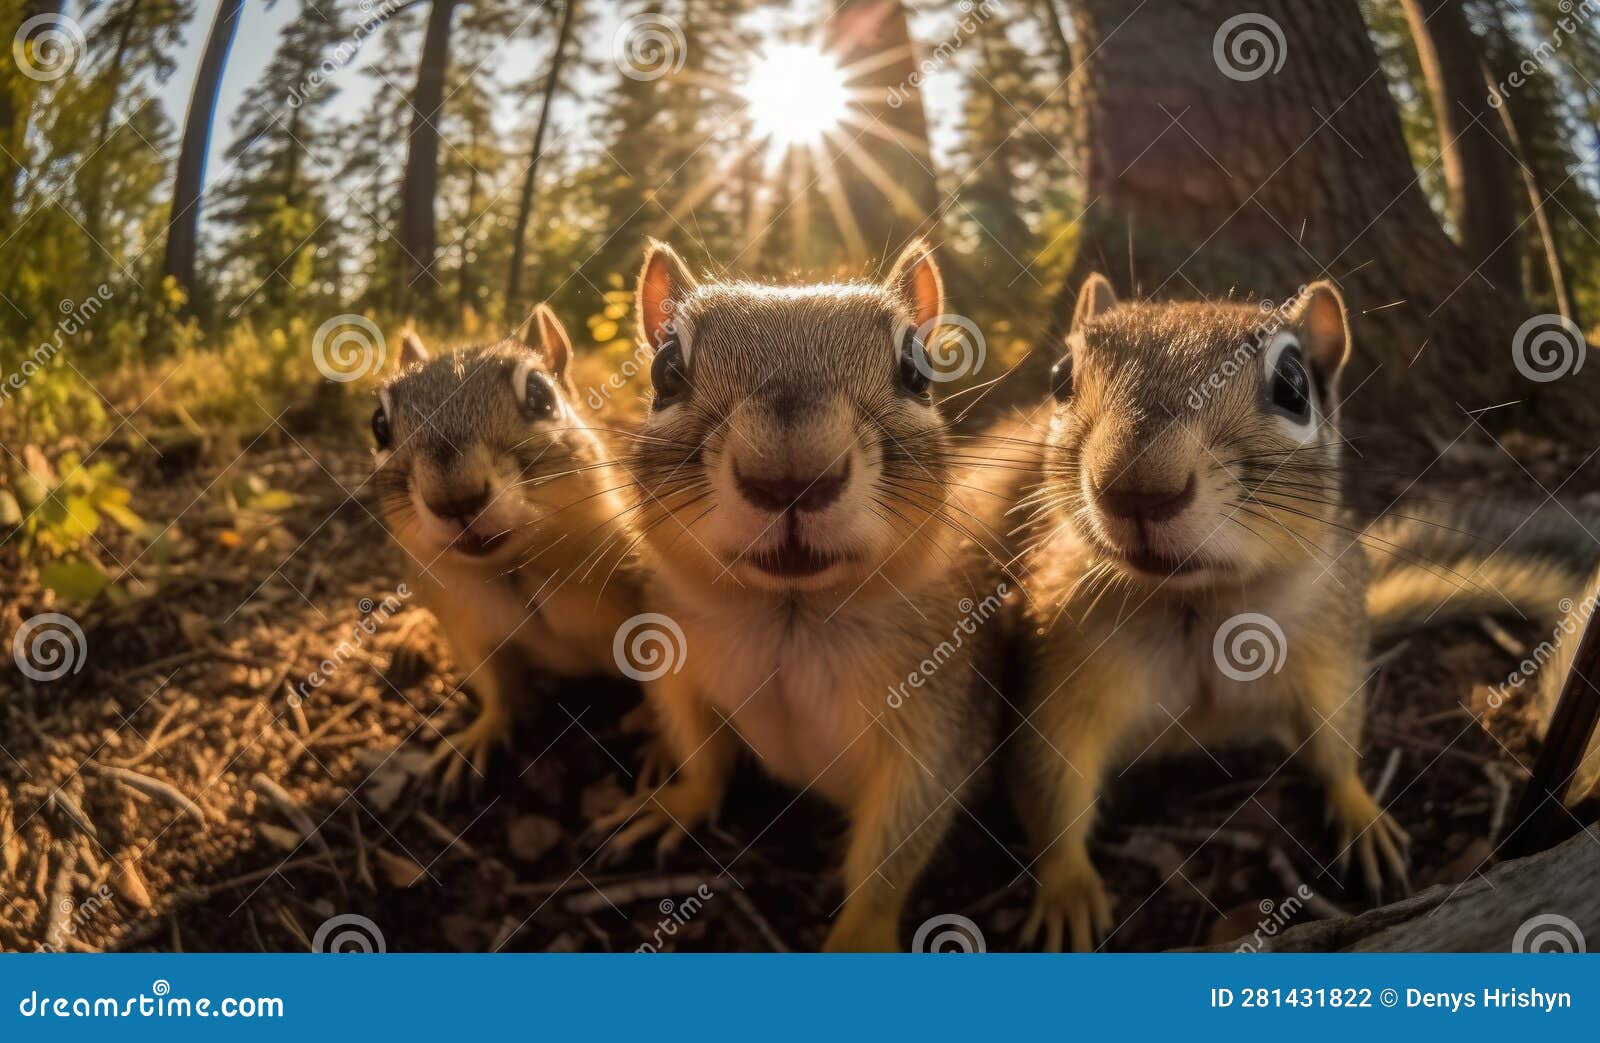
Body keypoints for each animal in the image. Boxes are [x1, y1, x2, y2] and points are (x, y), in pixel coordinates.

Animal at [370, 305, 646, 791]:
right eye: (379, 426)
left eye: (540, 395)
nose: (453, 497)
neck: (516, 568)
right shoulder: (470, 633)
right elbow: (496, 688)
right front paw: (478, 735)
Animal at [589, 239, 1008, 951]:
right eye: (667, 372)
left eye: (916, 371)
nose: (790, 475)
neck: (791, 616)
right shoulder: (675, 666)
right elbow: (700, 750)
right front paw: (676, 802)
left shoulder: (939, 721)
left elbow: (897, 845)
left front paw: (860, 936)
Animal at [1006, 274, 1599, 951]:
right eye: (1060, 378)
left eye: (1293, 388)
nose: (1138, 487)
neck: (1197, 603)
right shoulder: (1062, 671)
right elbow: (1050, 776)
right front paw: (1066, 888)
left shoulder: (1326, 653)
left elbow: (1336, 742)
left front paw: (1362, 815)